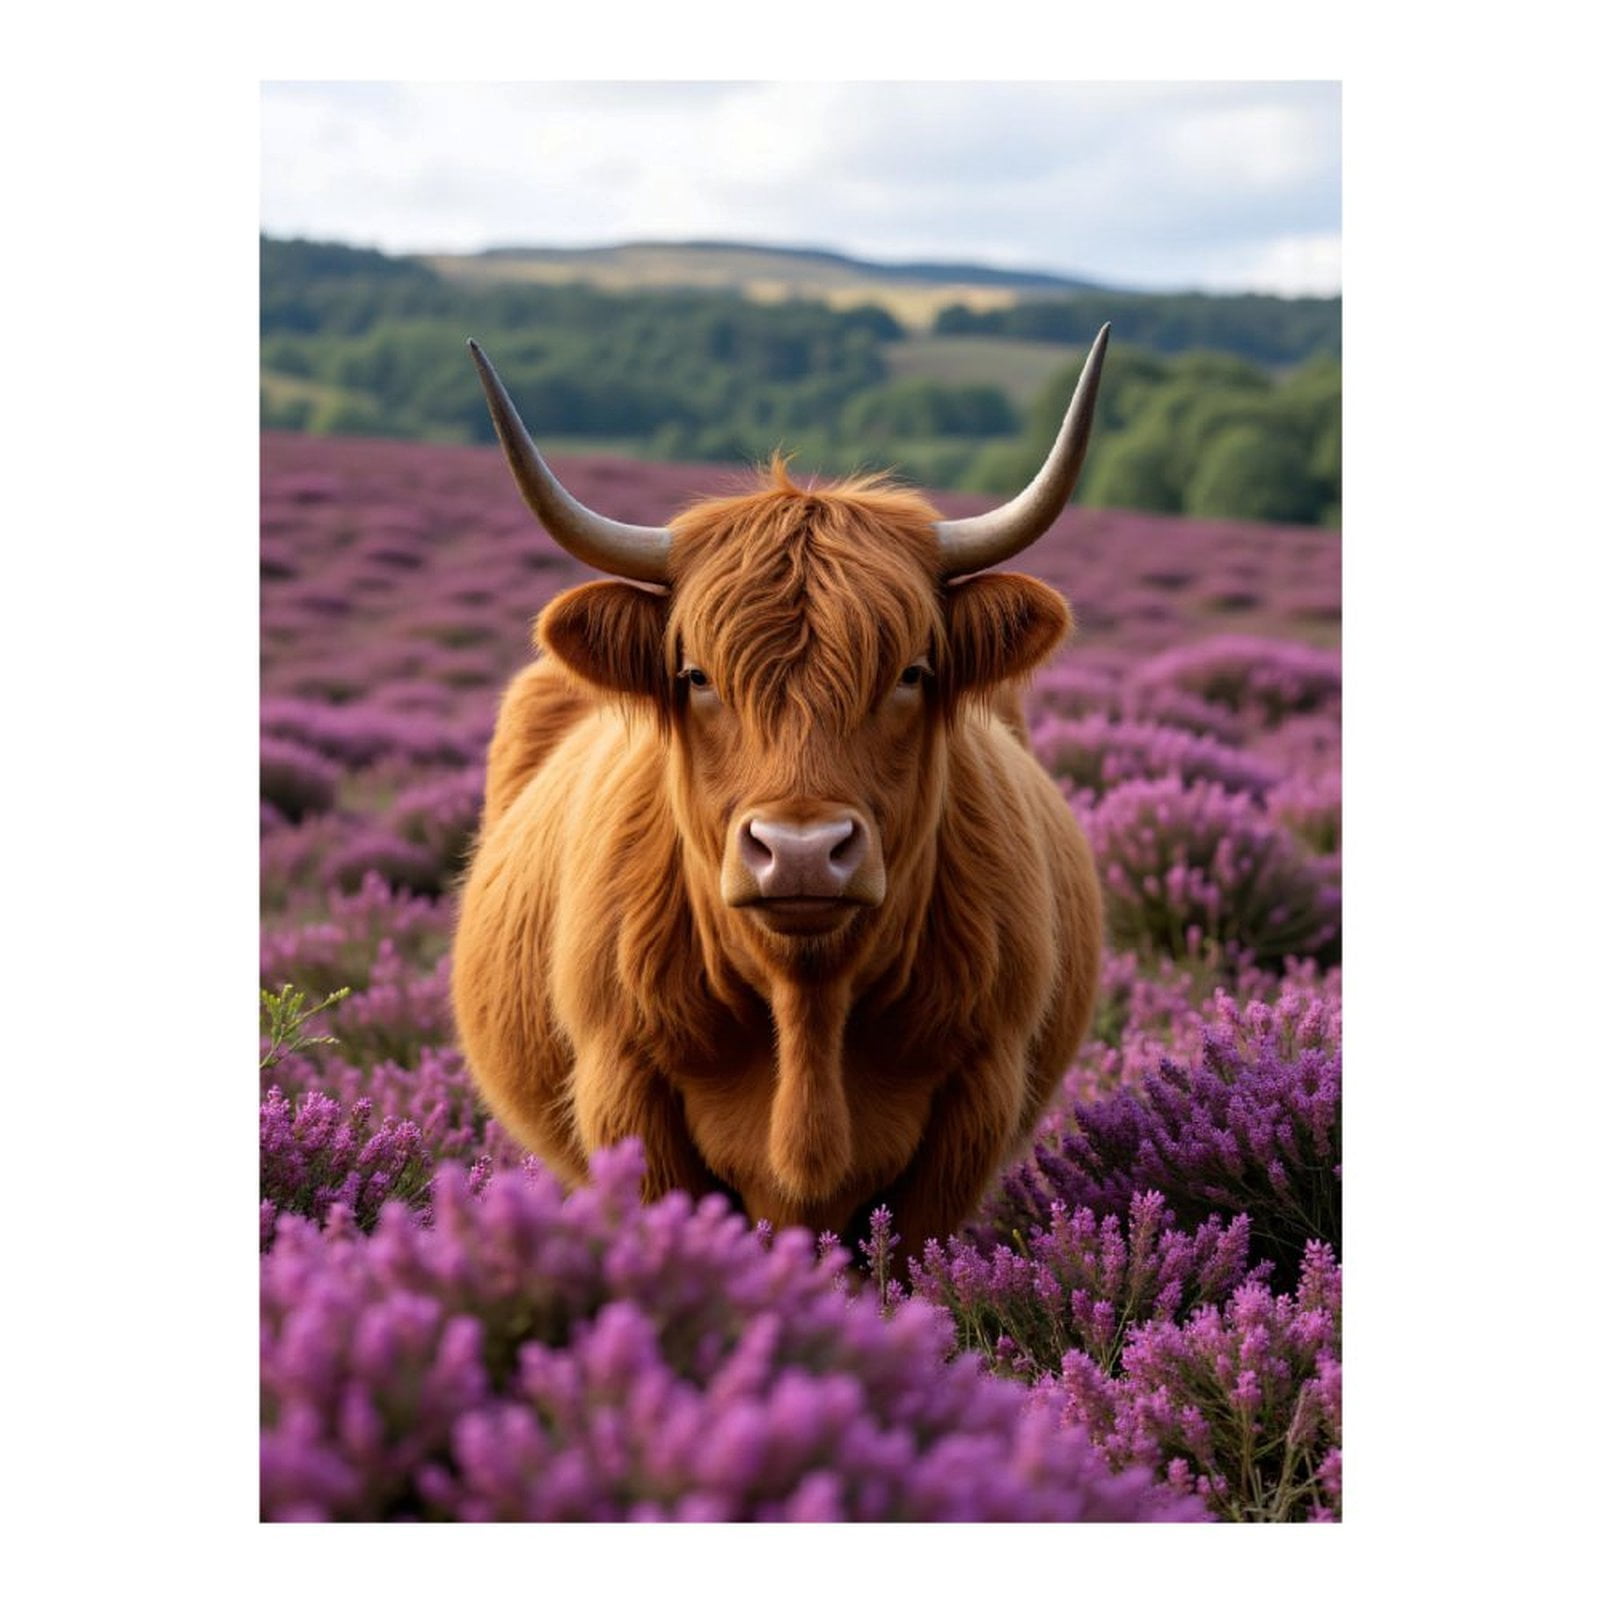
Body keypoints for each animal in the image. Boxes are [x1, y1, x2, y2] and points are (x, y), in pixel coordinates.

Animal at [451, 327, 1111, 1260]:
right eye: (696, 675)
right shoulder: (628, 1098)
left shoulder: (974, 1103)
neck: (808, 1012)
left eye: (912, 672)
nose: (800, 852)